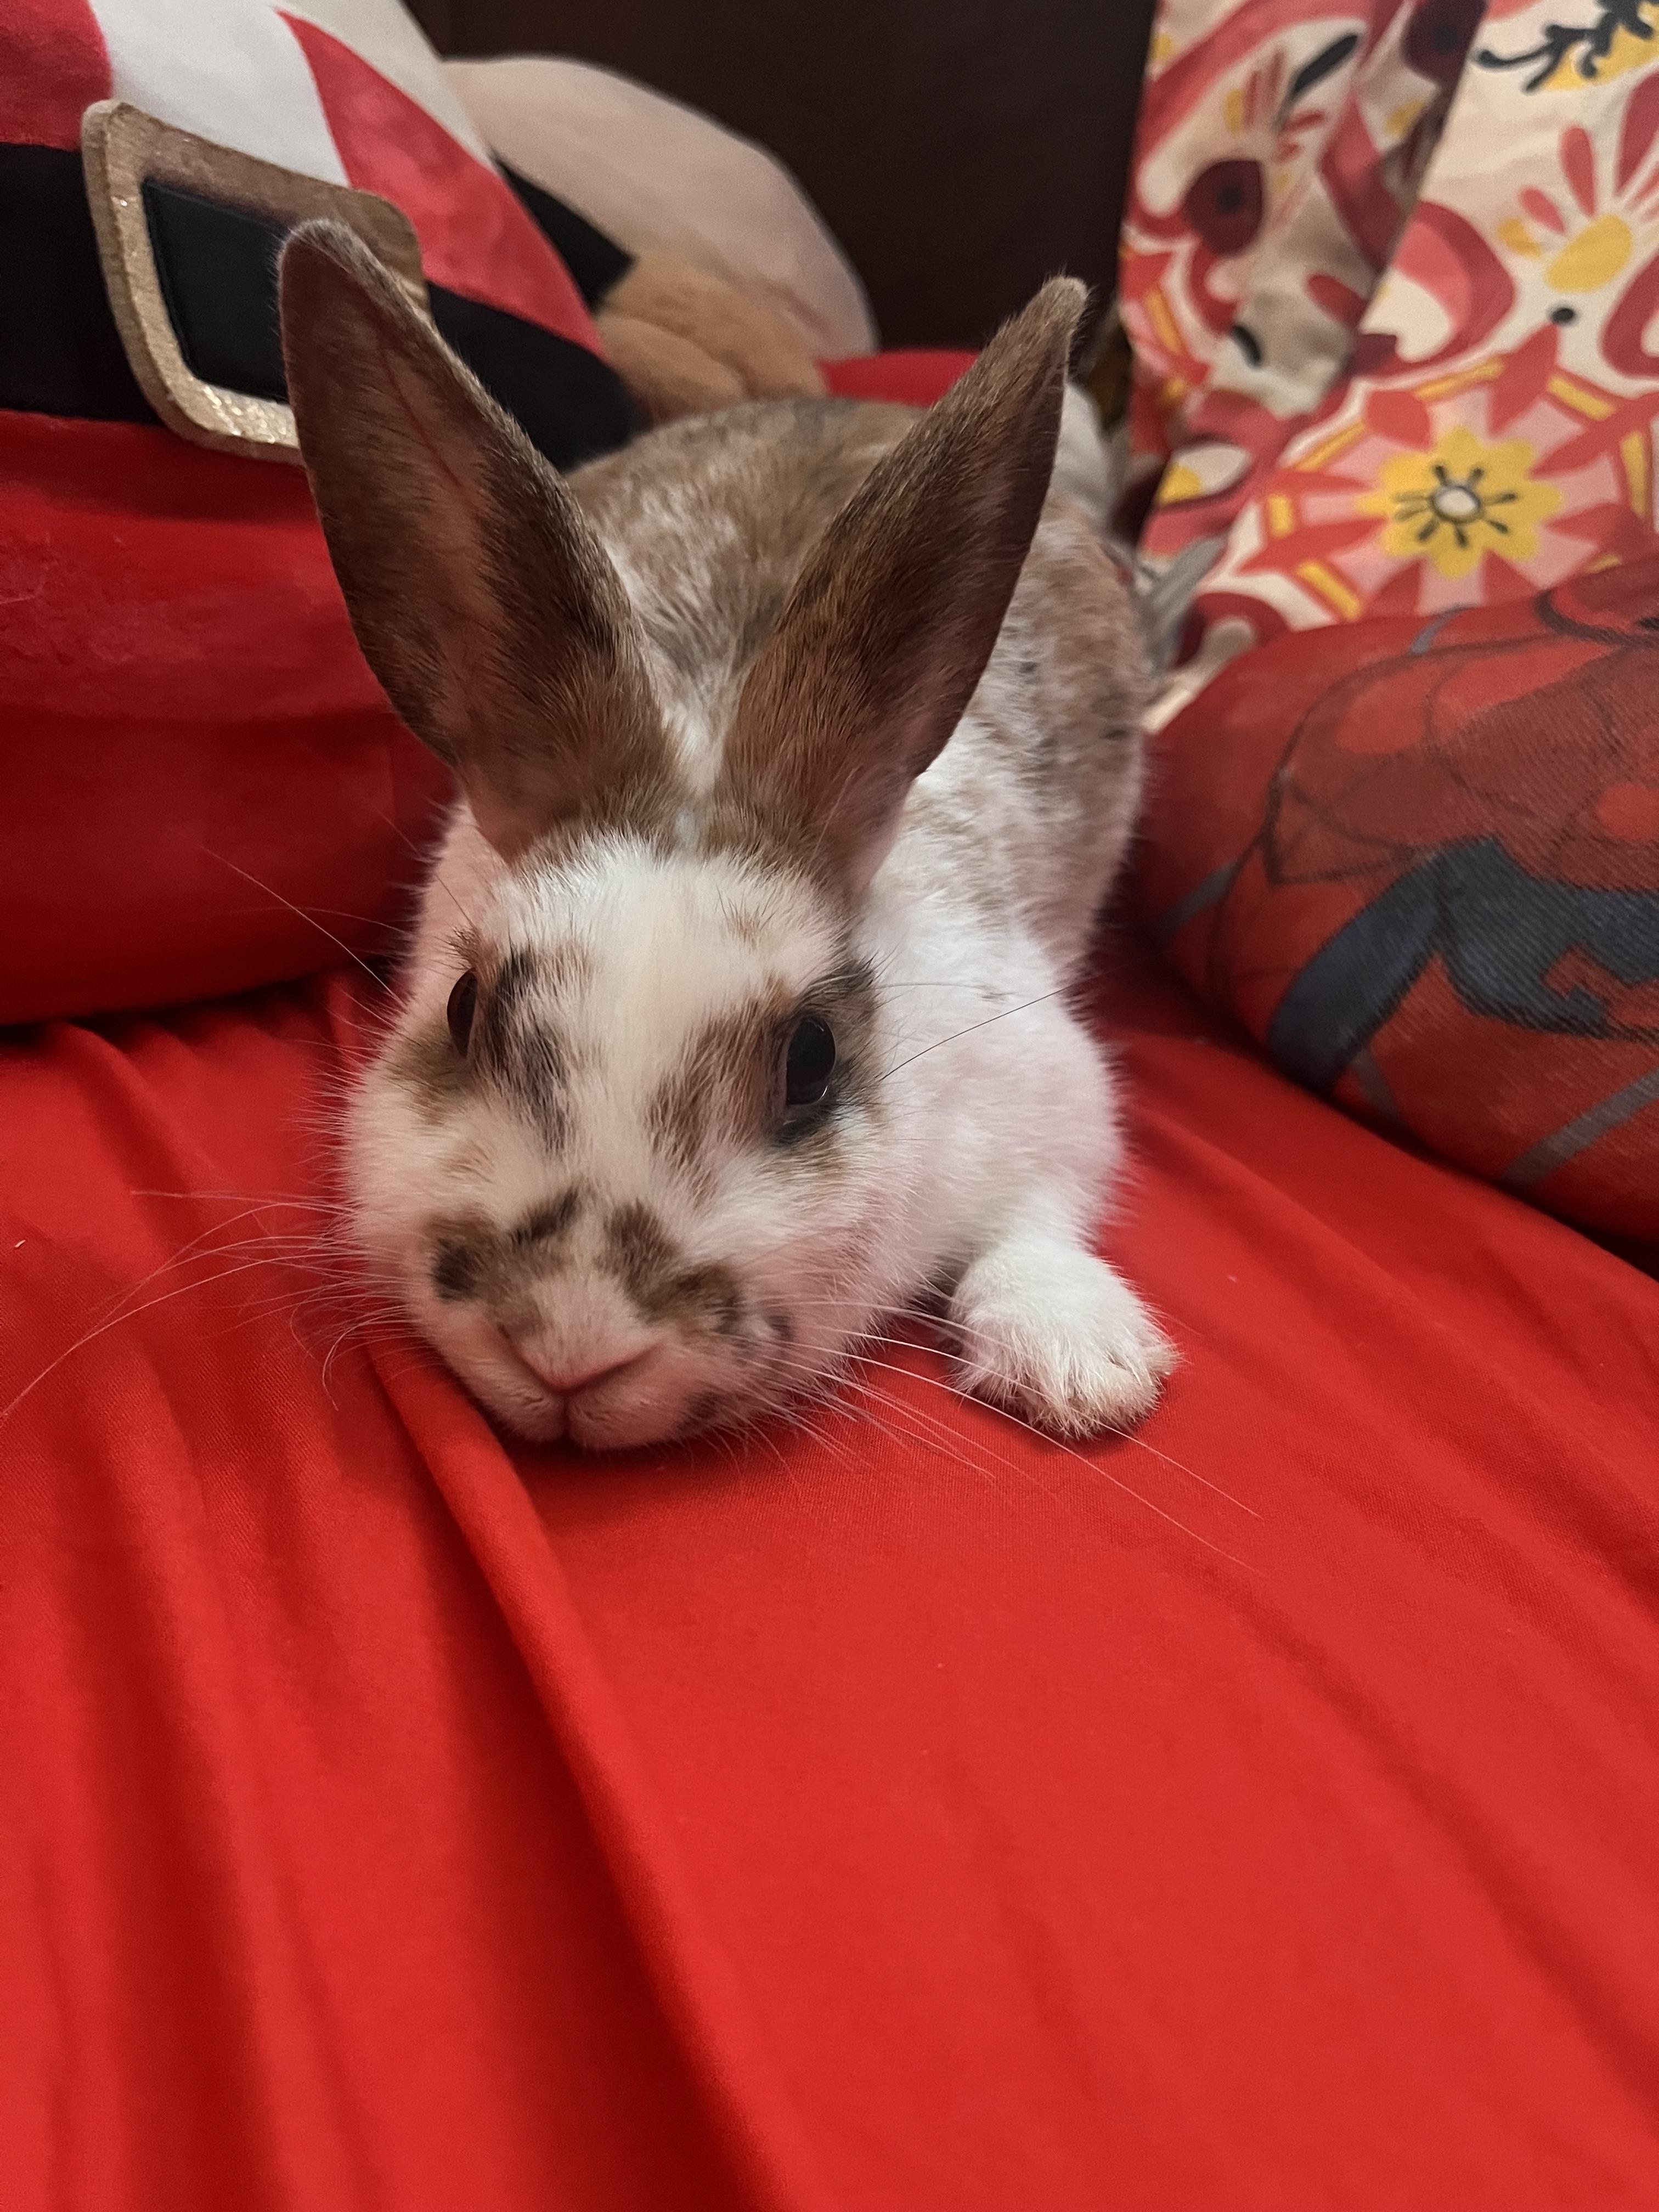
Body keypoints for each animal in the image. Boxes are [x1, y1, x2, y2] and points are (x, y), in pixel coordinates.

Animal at [278, 220, 1175, 1451]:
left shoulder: (1048, 1096)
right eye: (463, 1011)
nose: (569, 1346)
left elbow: (1034, 1227)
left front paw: (1080, 1368)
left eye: (812, 1061)